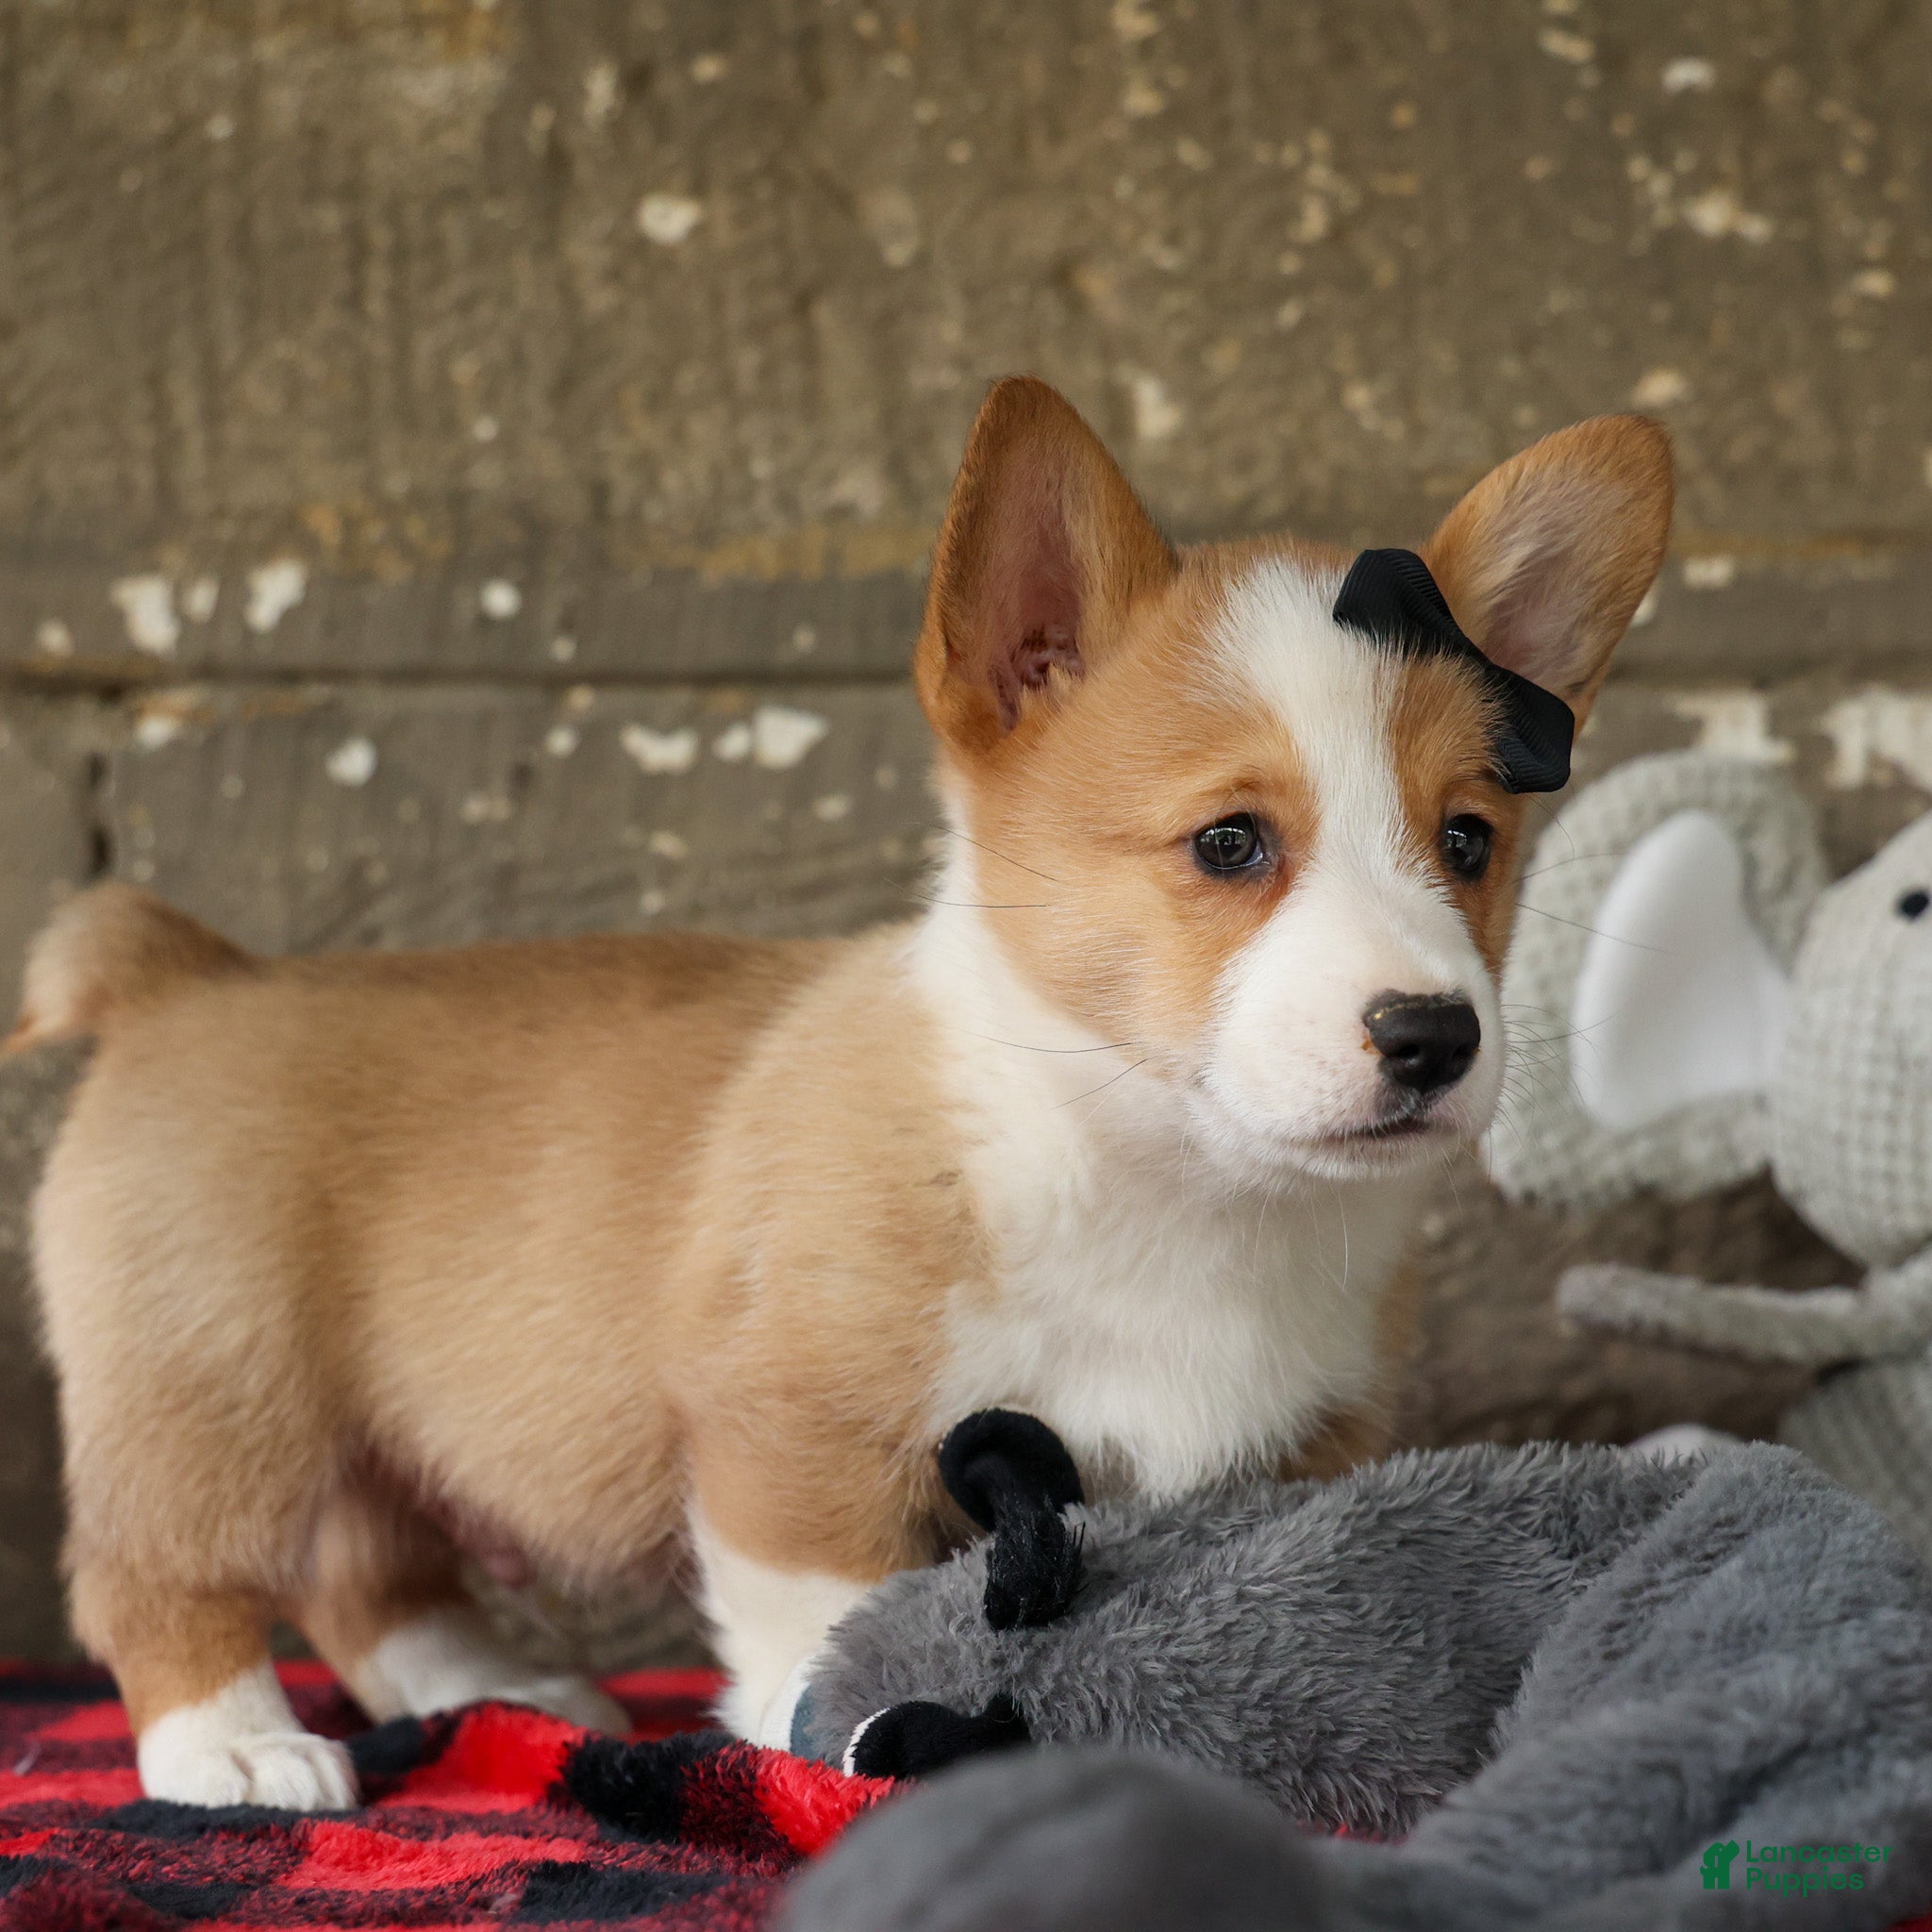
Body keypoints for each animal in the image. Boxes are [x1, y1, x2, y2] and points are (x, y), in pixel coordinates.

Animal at [10, 378, 1670, 1808]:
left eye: (1467, 842)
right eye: (1229, 844)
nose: (1432, 1036)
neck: (1155, 1177)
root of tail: (186, 975)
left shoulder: (1297, 1452)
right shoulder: (789, 1433)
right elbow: (827, 1613)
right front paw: (830, 1743)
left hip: (369, 1441)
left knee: (372, 1577)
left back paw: (498, 1692)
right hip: (213, 1391)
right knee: (156, 1578)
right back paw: (234, 1748)